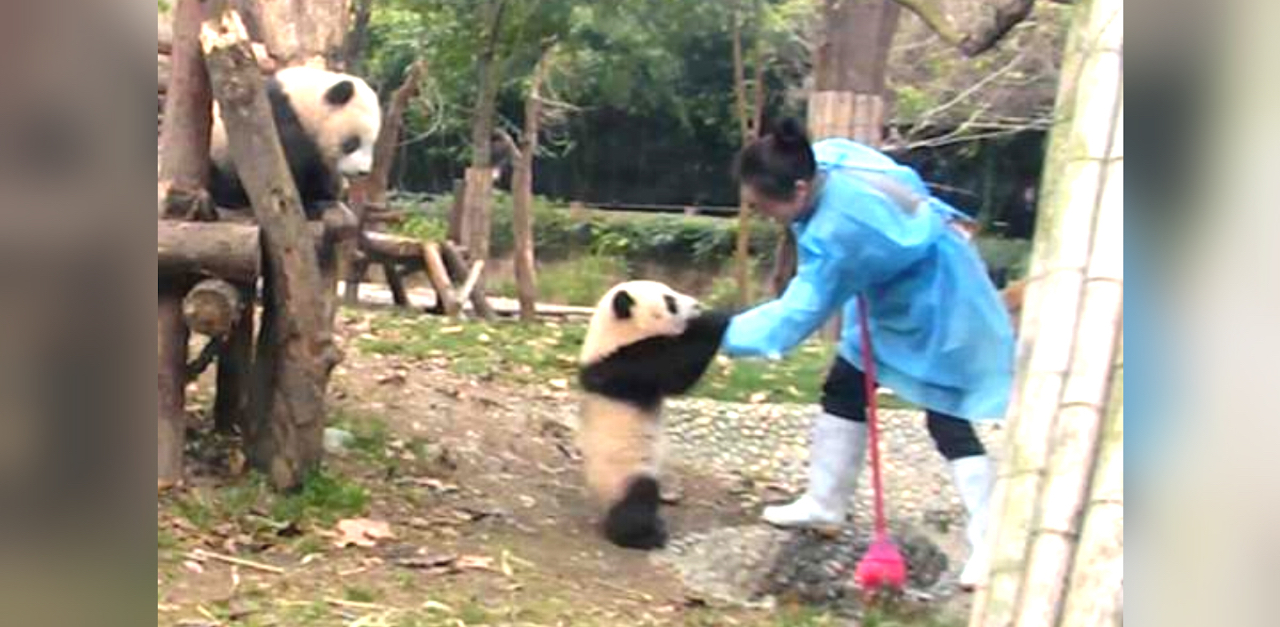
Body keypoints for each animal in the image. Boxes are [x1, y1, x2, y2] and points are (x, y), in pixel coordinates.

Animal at [208, 66, 382, 219]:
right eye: (352, 143)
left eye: (372, 142)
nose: (363, 172)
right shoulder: (276, 119)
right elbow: (286, 168)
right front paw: (312, 205)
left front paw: (327, 195)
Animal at [576, 280, 732, 550]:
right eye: (670, 302)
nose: (697, 306)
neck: (612, 335)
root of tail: (601, 508)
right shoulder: (619, 368)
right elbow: (673, 372)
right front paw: (715, 318)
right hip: (623, 473)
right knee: (638, 498)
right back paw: (641, 535)